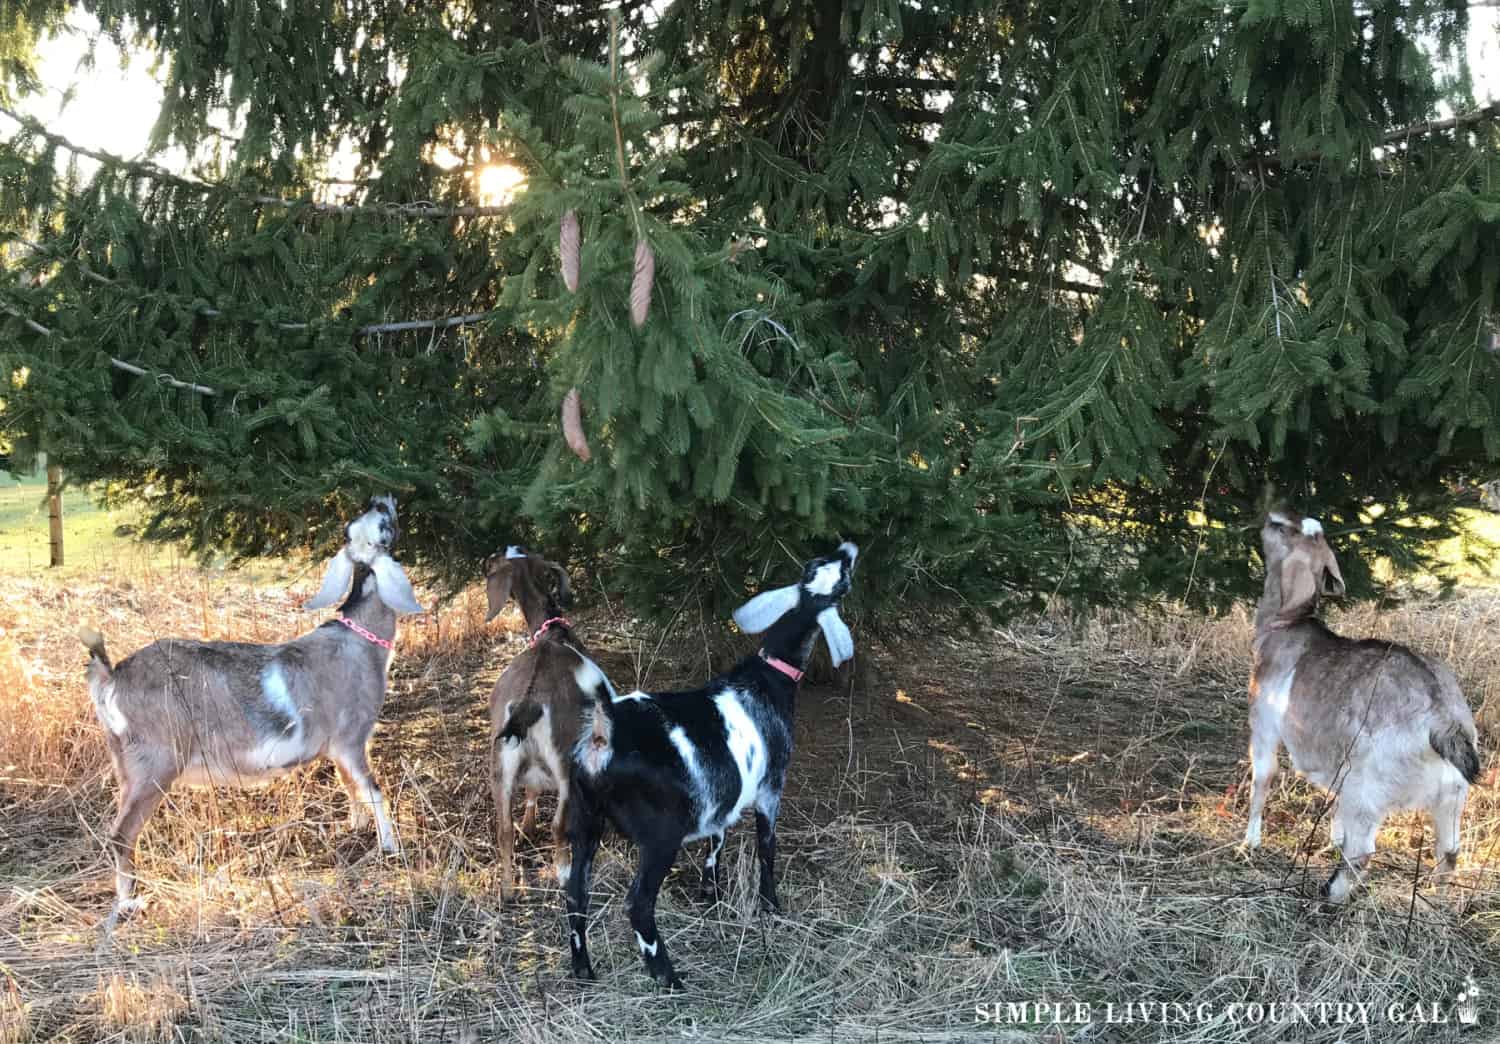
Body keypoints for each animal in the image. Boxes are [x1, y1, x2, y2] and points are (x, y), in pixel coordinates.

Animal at [79, 495, 425, 926]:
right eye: (384, 529)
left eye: (355, 527)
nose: (380, 500)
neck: (359, 641)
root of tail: (110, 677)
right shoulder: (350, 738)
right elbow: (373, 789)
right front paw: (390, 846)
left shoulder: (336, 748)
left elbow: (350, 786)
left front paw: (355, 826)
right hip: (154, 764)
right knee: (121, 834)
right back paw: (130, 902)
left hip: (124, 763)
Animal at [484, 545, 605, 898]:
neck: (552, 633)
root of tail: (529, 701)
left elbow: (532, 792)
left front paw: (528, 826)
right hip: (566, 764)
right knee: (559, 827)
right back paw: (565, 877)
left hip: (501, 765)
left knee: (504, 830)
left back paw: (508, 890)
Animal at [564, 542, 858, 988]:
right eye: (843, 580)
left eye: (816, 563)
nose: (847, 549)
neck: (769, 677)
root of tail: (605, 732)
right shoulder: (771, 784)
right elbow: (766, 845)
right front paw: (771, 905)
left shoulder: (722, 791)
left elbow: (718, 837)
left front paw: (710, 892)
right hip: (661, 832)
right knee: (637, 903)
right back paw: (668, 979)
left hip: (585, 817)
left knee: (575, 893)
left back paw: (584, 969)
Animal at [1244, 508, 1481, 901]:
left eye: (1286, 530)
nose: (1269, 517)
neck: (1286, 626)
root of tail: (1445, 720)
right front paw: (1332, 839)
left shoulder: (1263, 723)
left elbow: (1264, 777)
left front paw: (1249, 842)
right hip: (1452, 794)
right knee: (1449, 851)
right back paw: (1433, 897)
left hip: (1368, 786)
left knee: (1363, 853)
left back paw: (1329, 895)